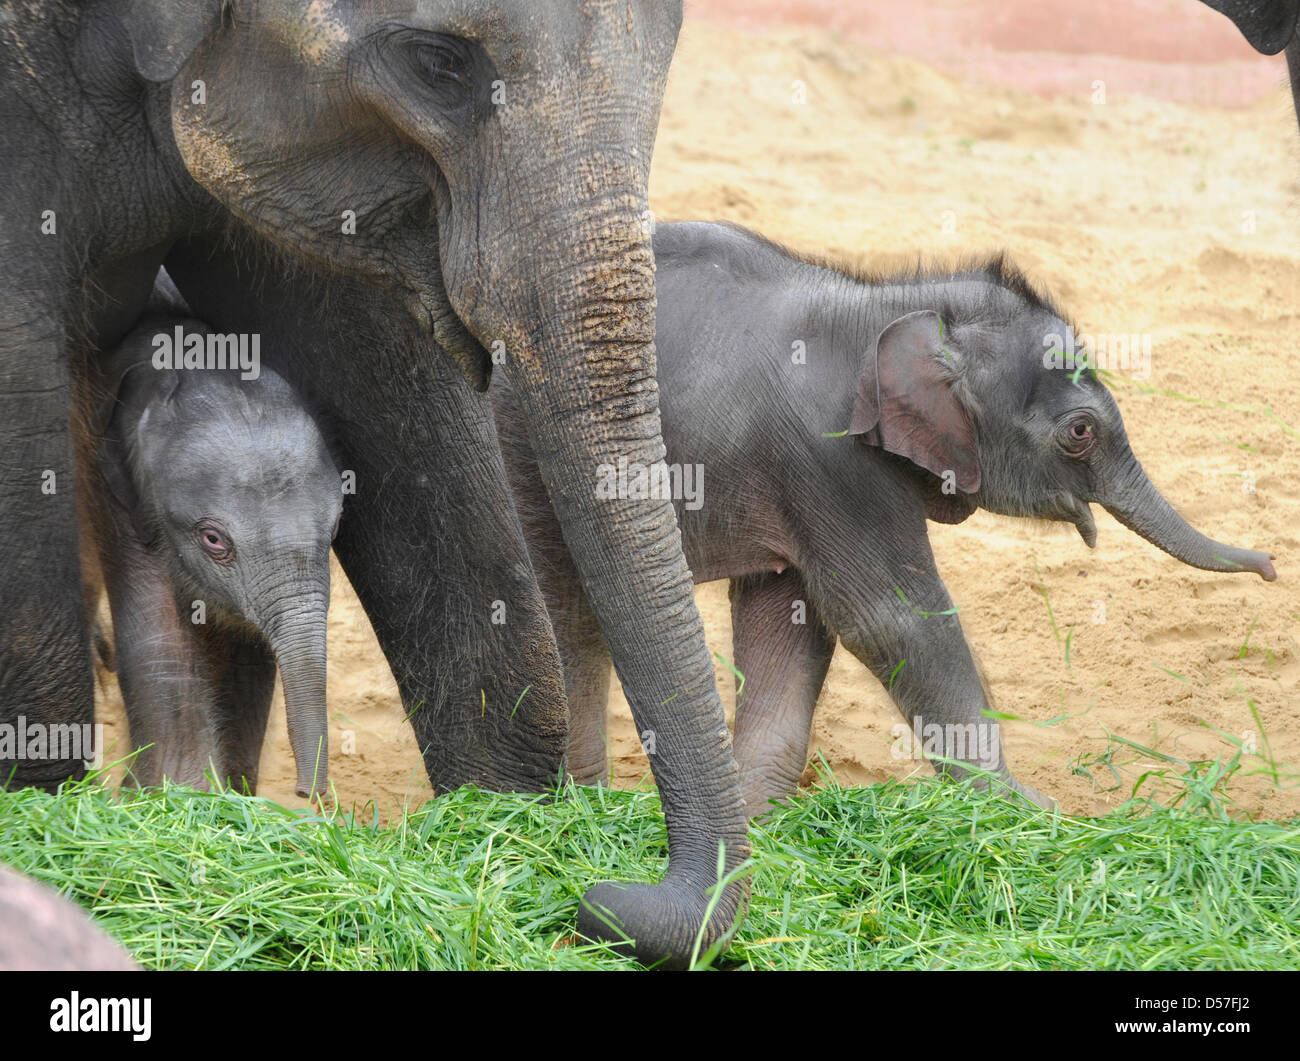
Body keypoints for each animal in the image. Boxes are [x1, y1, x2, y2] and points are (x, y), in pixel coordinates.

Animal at [90, 273, 341, 801]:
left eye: (333, 529)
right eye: (213, 540)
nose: (308, 794)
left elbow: (250, 660)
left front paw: (237, 796)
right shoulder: (119, 496)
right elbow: (160, 641)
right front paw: (174, 795)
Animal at [492, 221, 1278, 815]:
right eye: (1080, 431)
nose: (1272, 565)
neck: (887, 305)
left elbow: (792, 622)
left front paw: (758, 830)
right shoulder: (829, 456)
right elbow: (892, 619)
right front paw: (1032, 813)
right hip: (531, 451)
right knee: (570, 603)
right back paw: (571, 809)